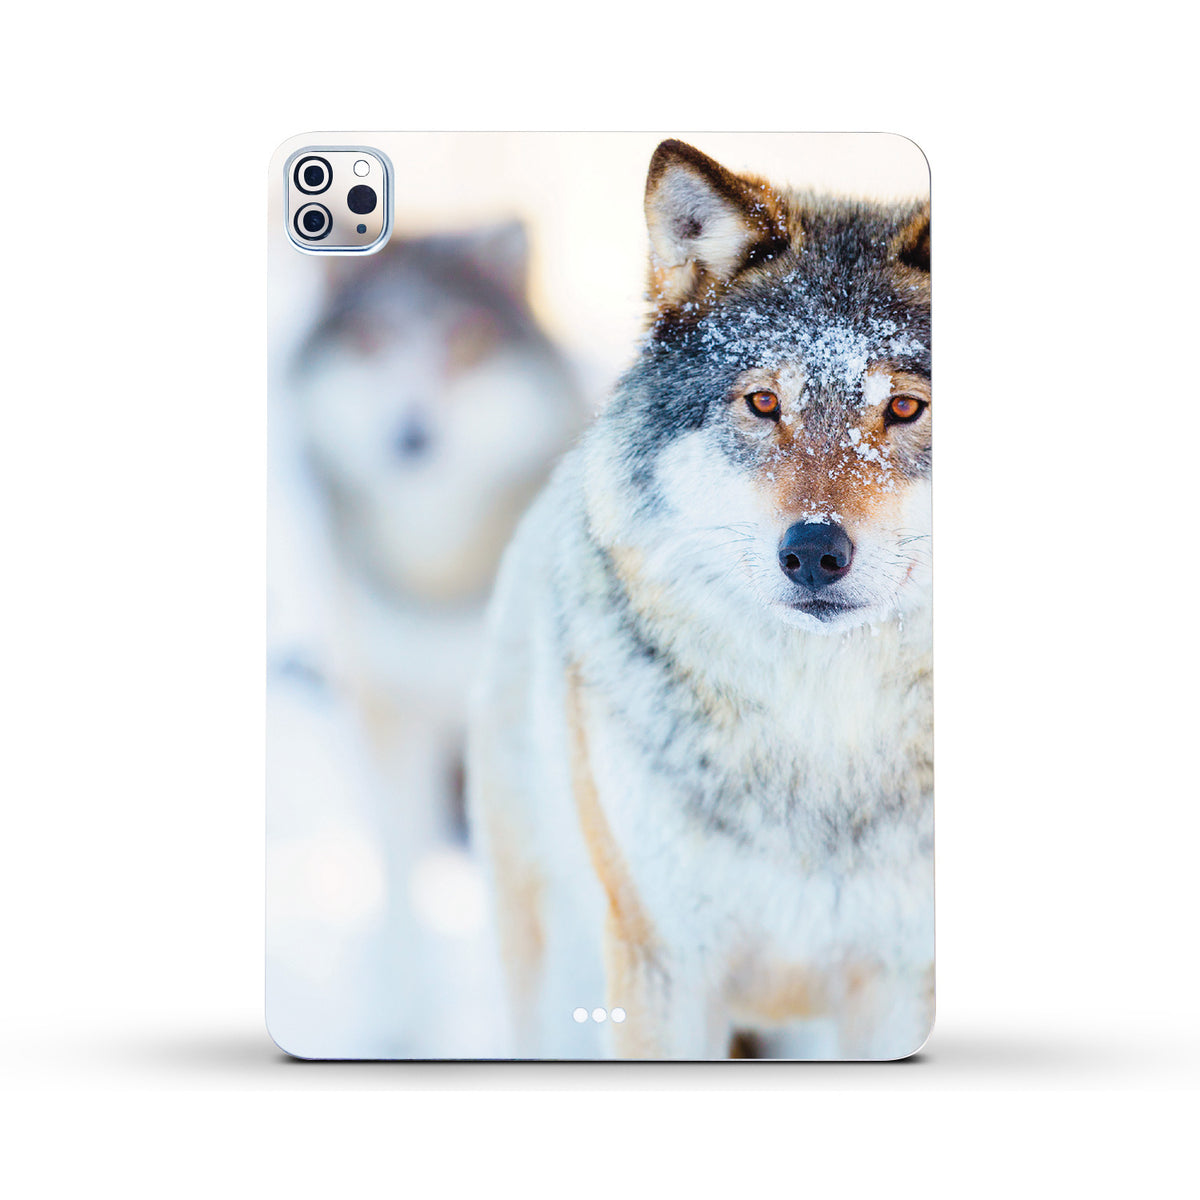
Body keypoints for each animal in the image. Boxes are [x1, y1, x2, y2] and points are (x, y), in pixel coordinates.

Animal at [468, 140, 933, 1059]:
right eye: (763, 402)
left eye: (905, 407)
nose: (813, 551)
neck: (822, 738)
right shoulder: (661, 967)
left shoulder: (900, 984)